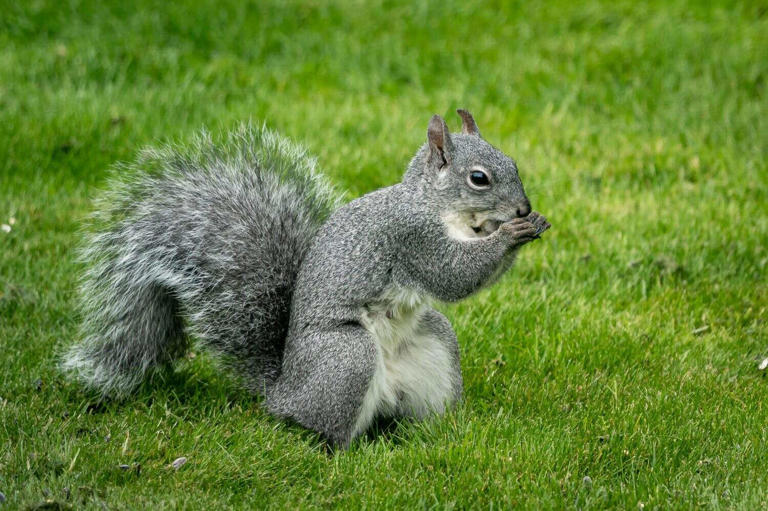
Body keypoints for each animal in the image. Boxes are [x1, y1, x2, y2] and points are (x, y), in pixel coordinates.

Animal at [62, 109, 550, 447]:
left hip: (434, 343)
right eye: (479, 178)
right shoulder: (411, 239)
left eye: (513, 162)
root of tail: (282, 392)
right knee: (323, 428)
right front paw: (513, 233)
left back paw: (441, 431)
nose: (524, 208)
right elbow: (453, 275)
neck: (438, 207)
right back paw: (342, 450)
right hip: (346, 357)